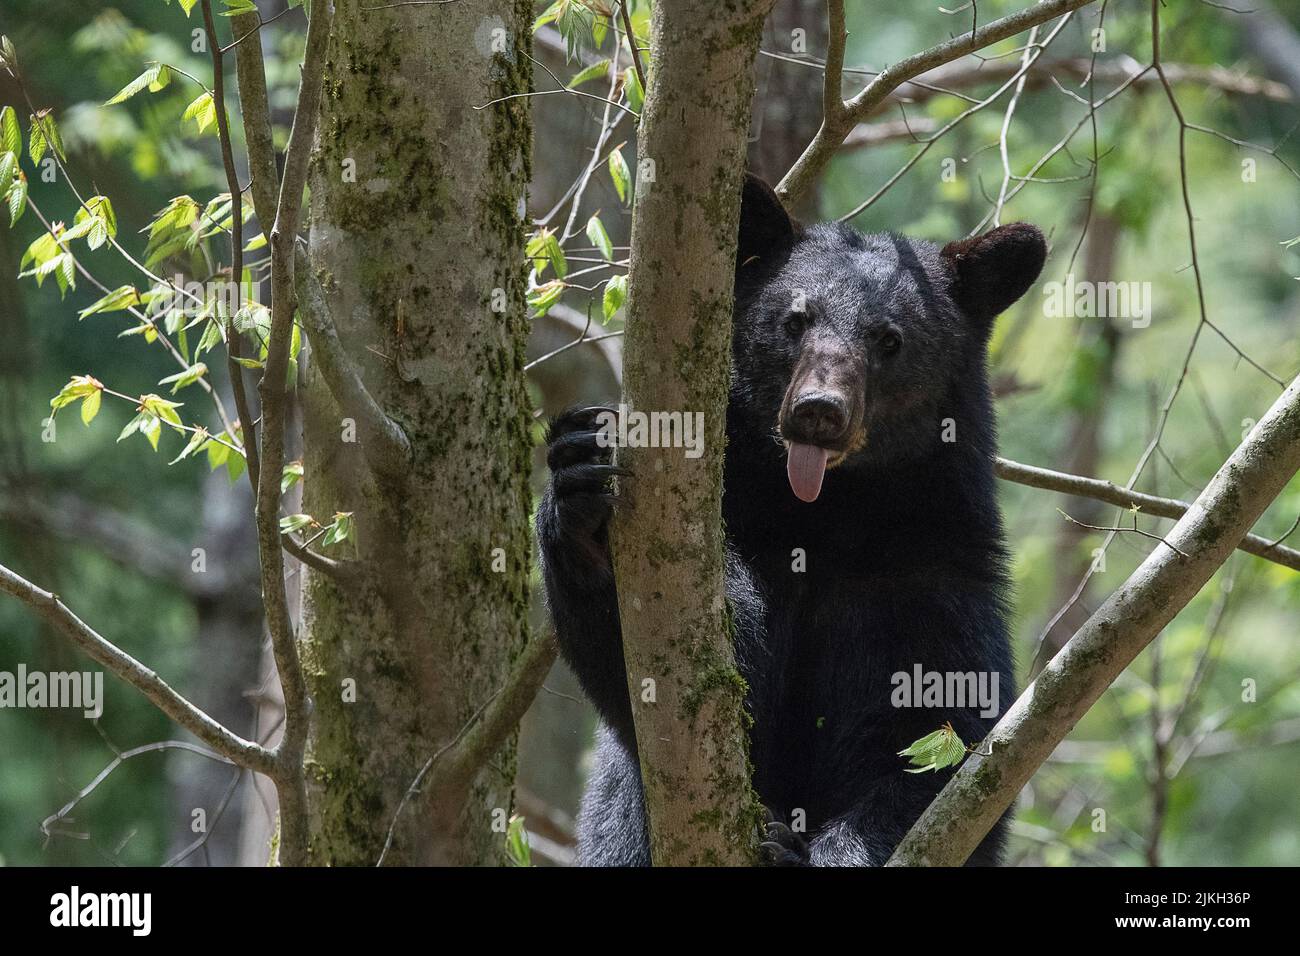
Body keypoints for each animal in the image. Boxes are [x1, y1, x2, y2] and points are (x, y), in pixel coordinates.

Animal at [536, 173, 1046, 866]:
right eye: (795, 320)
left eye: (890, 339)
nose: (818, 411)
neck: (818, 517)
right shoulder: (739, 535)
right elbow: (668, 691)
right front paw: (582, 483)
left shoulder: (931, 565)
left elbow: (938, 739)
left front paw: (804, 849)